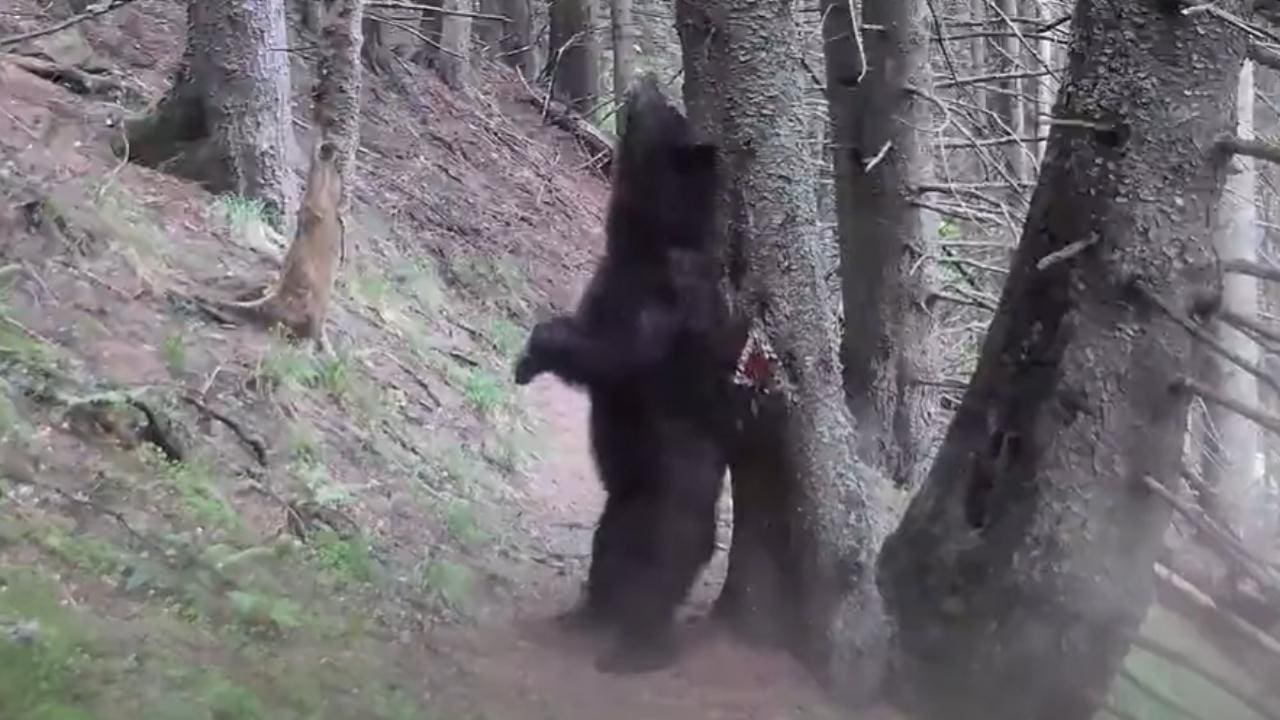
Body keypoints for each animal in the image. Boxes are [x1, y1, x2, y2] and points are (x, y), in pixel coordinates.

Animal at [512, 75, 744, 674]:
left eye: (665, 113)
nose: (648, 80)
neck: (640, 243)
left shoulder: (667, 300)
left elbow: (620, 356)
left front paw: (539, 344)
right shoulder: (604, 282)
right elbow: (587, 341)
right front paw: (528, 360)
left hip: (674, 503)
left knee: (661, 575)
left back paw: (636, 649)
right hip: (623, 503)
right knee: (609, 551)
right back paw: (586, 613)